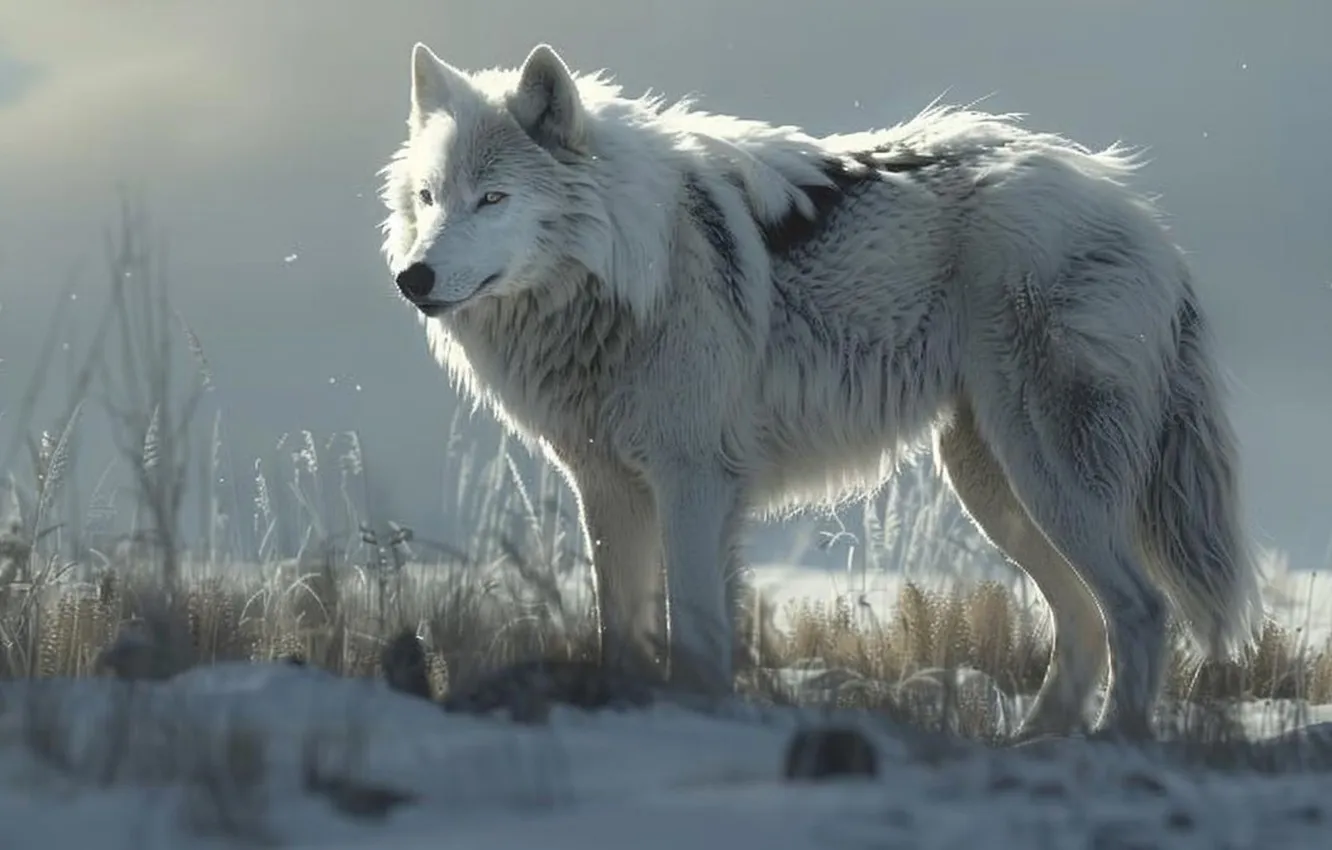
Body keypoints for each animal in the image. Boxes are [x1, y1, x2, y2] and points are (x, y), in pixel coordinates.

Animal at [378, 41, 1264, 739]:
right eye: (429, 198)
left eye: (493, 198)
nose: (412, 278)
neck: (635, 266)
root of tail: (1138, 209)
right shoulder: (608, 487)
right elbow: (620, 634)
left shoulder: (693, 481)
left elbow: (695, 634)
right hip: (994, 485)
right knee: (1082, 616)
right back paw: (1036, 744)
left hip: (1046, 476)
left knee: (1141, 609)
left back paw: (1115, 745)